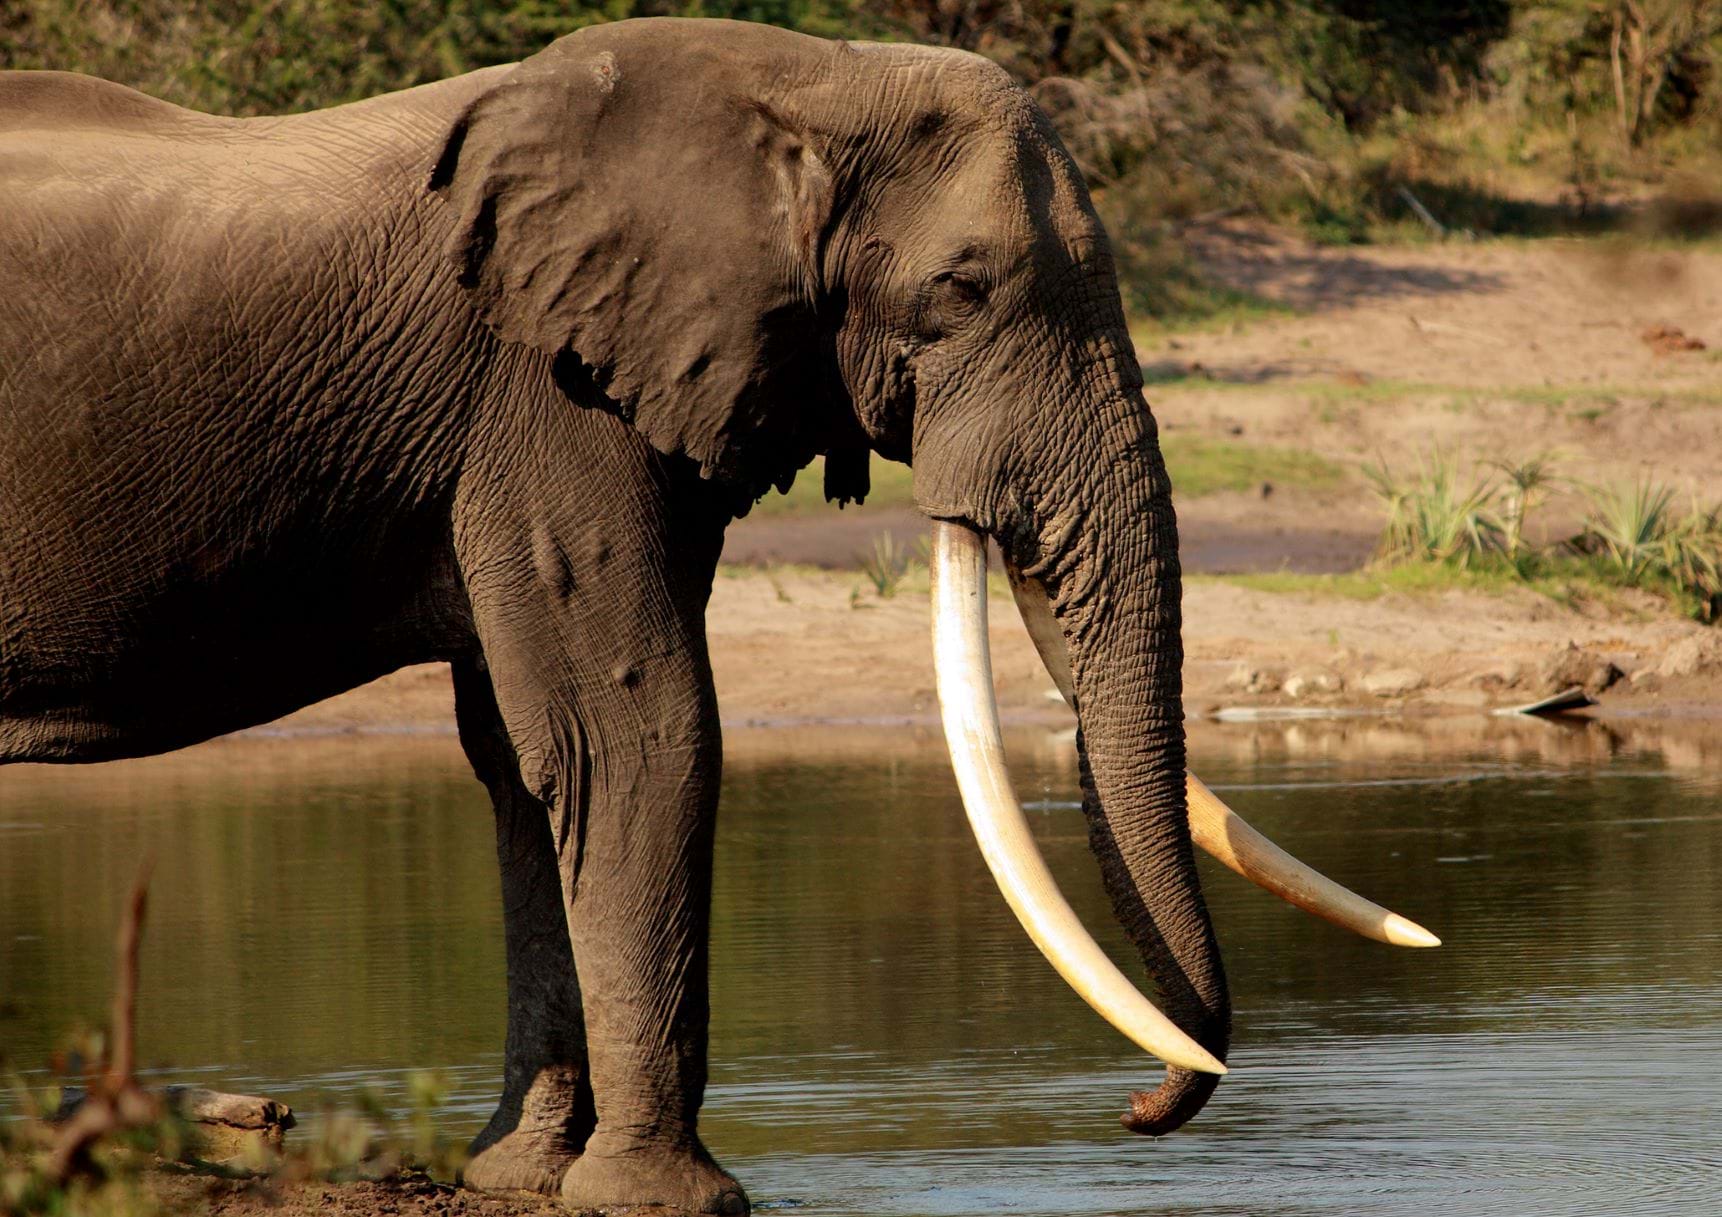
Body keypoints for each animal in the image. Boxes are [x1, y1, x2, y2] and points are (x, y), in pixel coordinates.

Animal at [0, 17, 1437, 1214]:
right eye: (962, 291)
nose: (1138, 1110)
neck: (802, 79)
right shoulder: (544, 396)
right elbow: (636, 737)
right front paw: (668, 1198)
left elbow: (526, 762)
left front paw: (523, 1177)